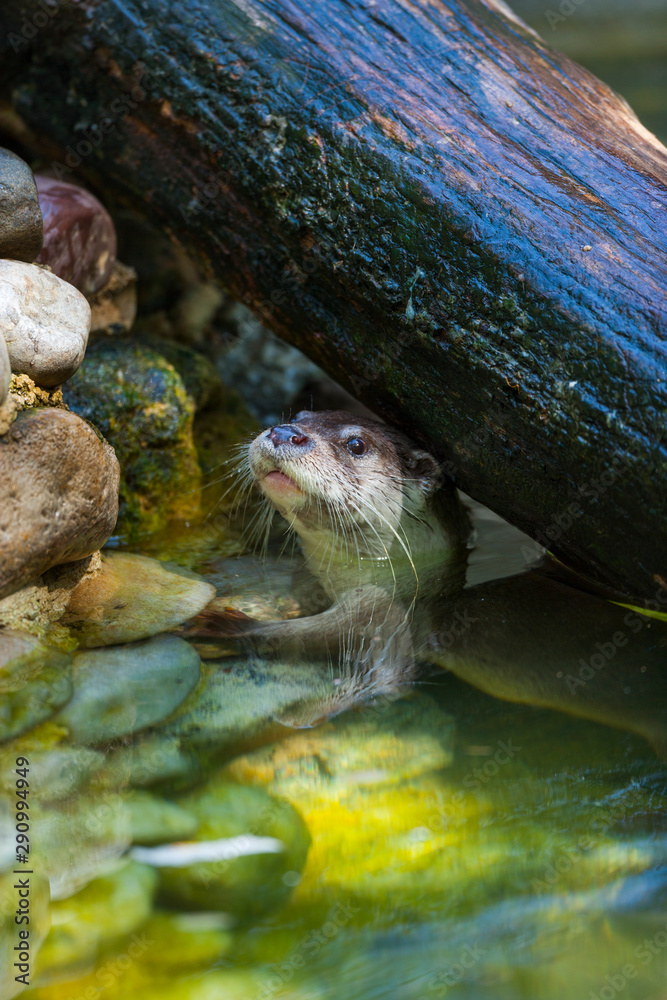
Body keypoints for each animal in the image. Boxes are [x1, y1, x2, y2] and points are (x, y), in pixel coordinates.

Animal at [201, 410, 667, 753]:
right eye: (300, 414)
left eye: (356, 445)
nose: (284, 431)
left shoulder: (386, 609)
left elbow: (316, 636)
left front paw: (222, 626)